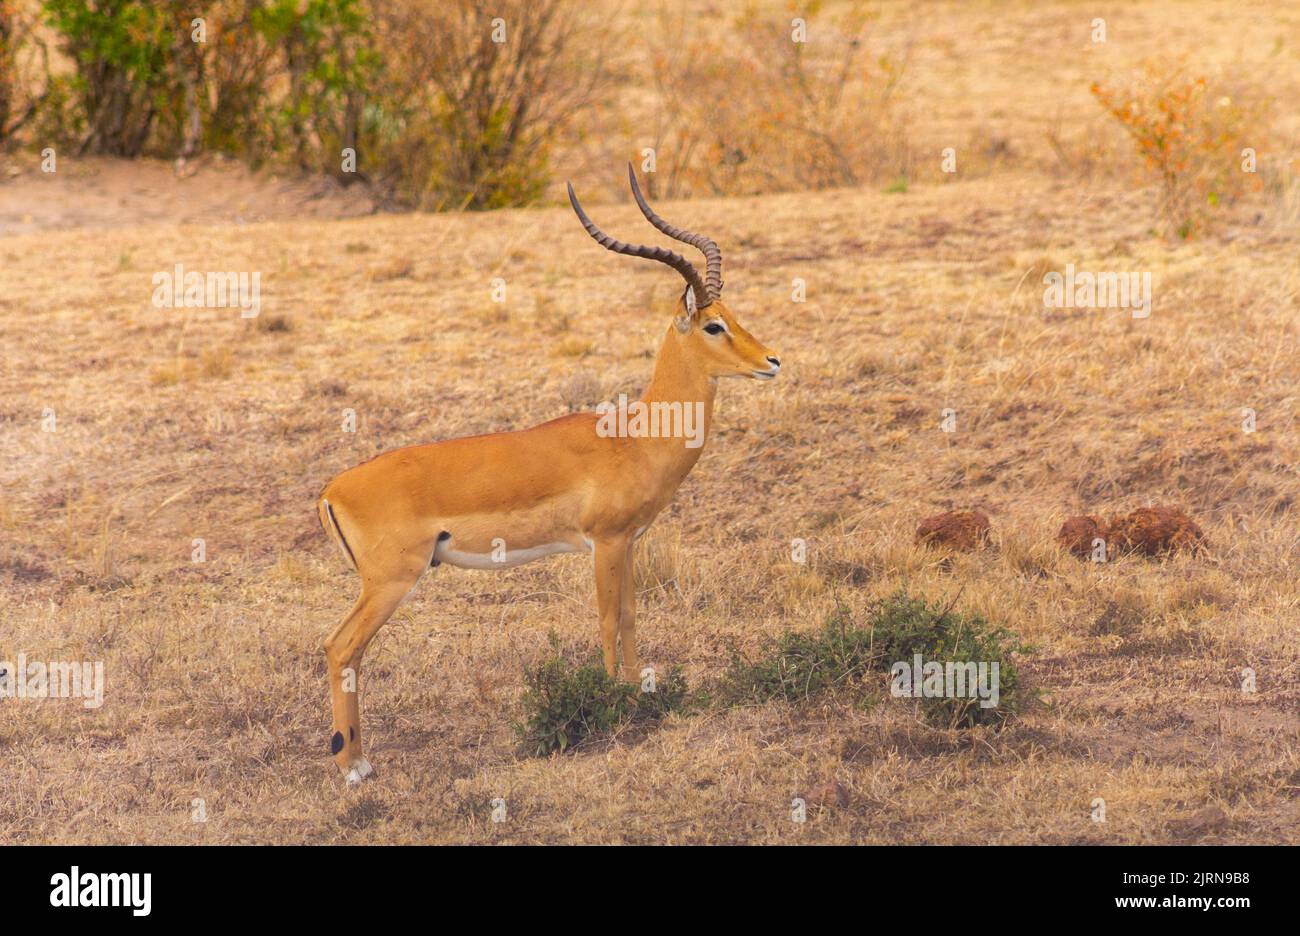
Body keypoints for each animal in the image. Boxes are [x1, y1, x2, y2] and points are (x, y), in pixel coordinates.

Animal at [317, 165, 781, 782]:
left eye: (734, 316)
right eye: (712, 326)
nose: (773, 361)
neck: (635, 436)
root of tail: (332, 489)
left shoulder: (629, 542)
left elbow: (630, 617)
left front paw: (641, 696)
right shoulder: (605, 542)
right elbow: (607, 620)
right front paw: (613, 706)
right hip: (391, 581)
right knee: (341, 647)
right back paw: (353, 766)